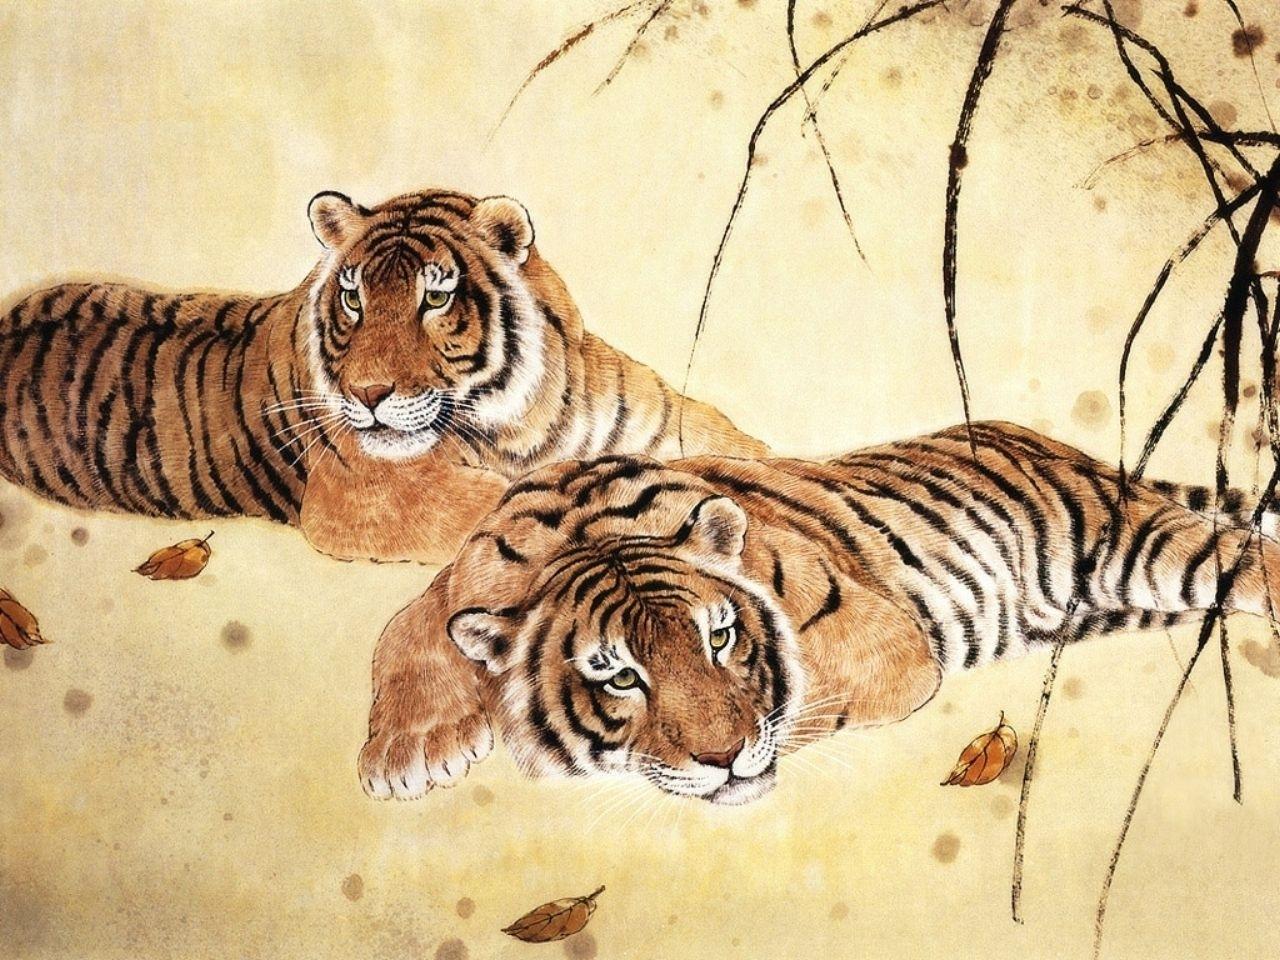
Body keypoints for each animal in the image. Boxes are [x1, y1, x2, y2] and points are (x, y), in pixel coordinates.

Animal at [0, 189, 765, 564]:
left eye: (435, 296)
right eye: (352, 297)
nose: (365, 396)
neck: (525, 419)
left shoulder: (660, 420)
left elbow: (744, 451)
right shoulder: (373, 499)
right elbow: (512, 506)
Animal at [357, 420, 1280, 805]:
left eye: (721, 638)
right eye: (617, 676)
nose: (725, 760)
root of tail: (1058, 444)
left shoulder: (881, 642)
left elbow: (802, 699)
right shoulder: (464, 572)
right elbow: (405, 627)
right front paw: (408, 752)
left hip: (1128, 541)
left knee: (1244, 554)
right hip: (1117, 604)